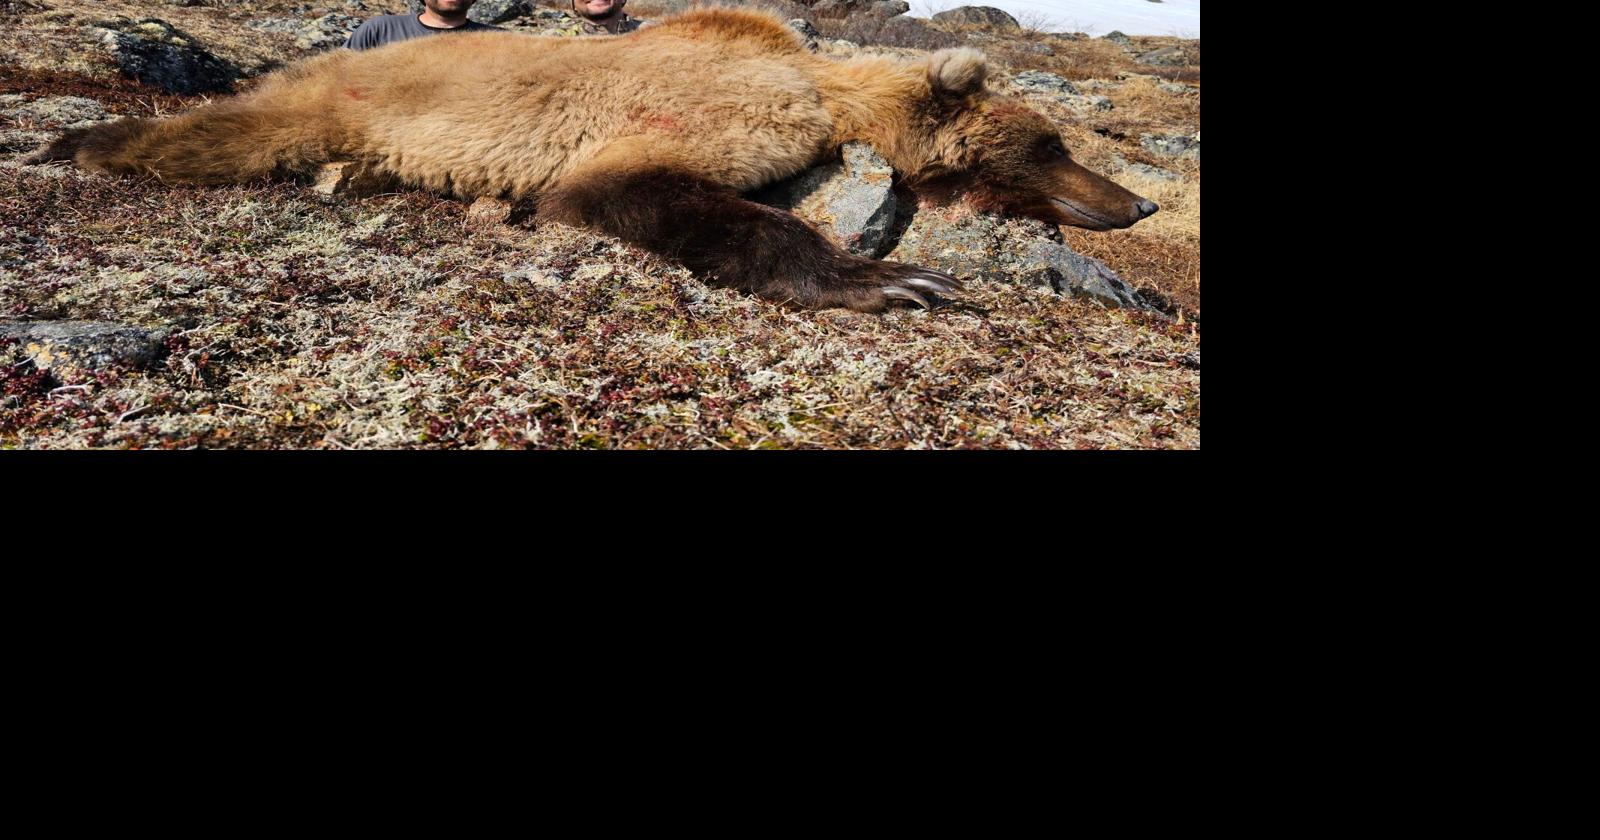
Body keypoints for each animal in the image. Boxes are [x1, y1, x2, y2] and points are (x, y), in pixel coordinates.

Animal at [28, 8, 1158, 312]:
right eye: (1052, 143)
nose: (1141, 206)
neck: (817, 85)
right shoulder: (696, 108)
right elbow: (633, 191)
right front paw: (893, 278)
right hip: (328, 99)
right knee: (221, 133)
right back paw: (78, 140)